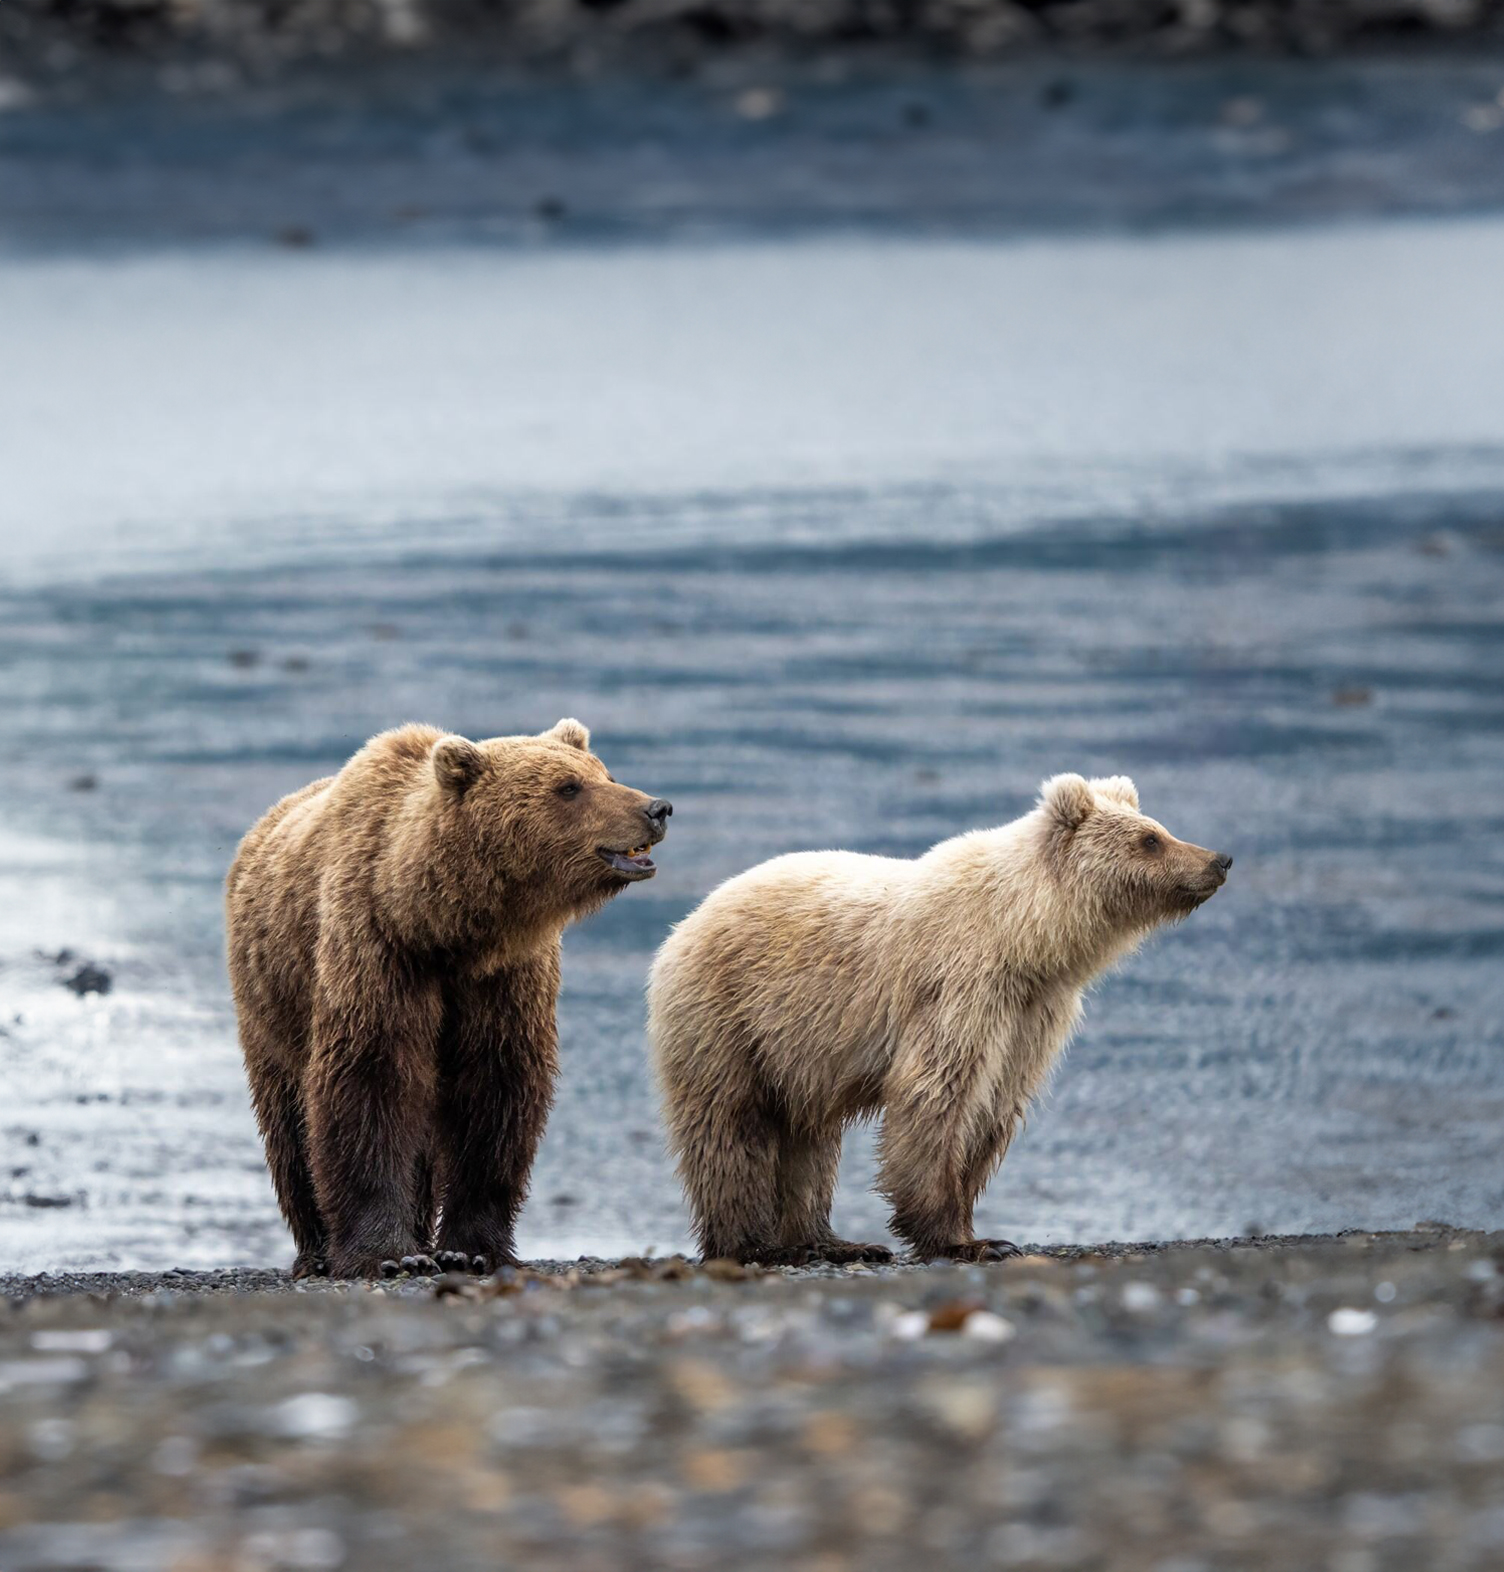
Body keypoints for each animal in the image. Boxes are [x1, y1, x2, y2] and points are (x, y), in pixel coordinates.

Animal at [226, 718, 671, 1280]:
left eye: (605, 773)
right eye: (569, 787)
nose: (657, 808)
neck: (442, 926)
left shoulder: (503, 977)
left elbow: (495, 1092)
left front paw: (470, 1249)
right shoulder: (379, 951)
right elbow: (370, 1082)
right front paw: (387, 1254)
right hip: (271, 1003)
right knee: (288, 1120)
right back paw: (317, 1250)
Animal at [647, 773, 1230, 1265]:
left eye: (1160, 828)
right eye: (1149, 839)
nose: (1219, 859)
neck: (1026, 935)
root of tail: (682, 926)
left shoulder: (1031, 1015)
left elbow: (993, 1107)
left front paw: (977, 1229)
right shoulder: (959, 986)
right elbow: (937, 1093)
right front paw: (966, 1239)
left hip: (794, 1054)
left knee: (809, 1139)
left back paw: (829, 1241)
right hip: (731, 1018)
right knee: (731, 1125)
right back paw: (754, 1244)